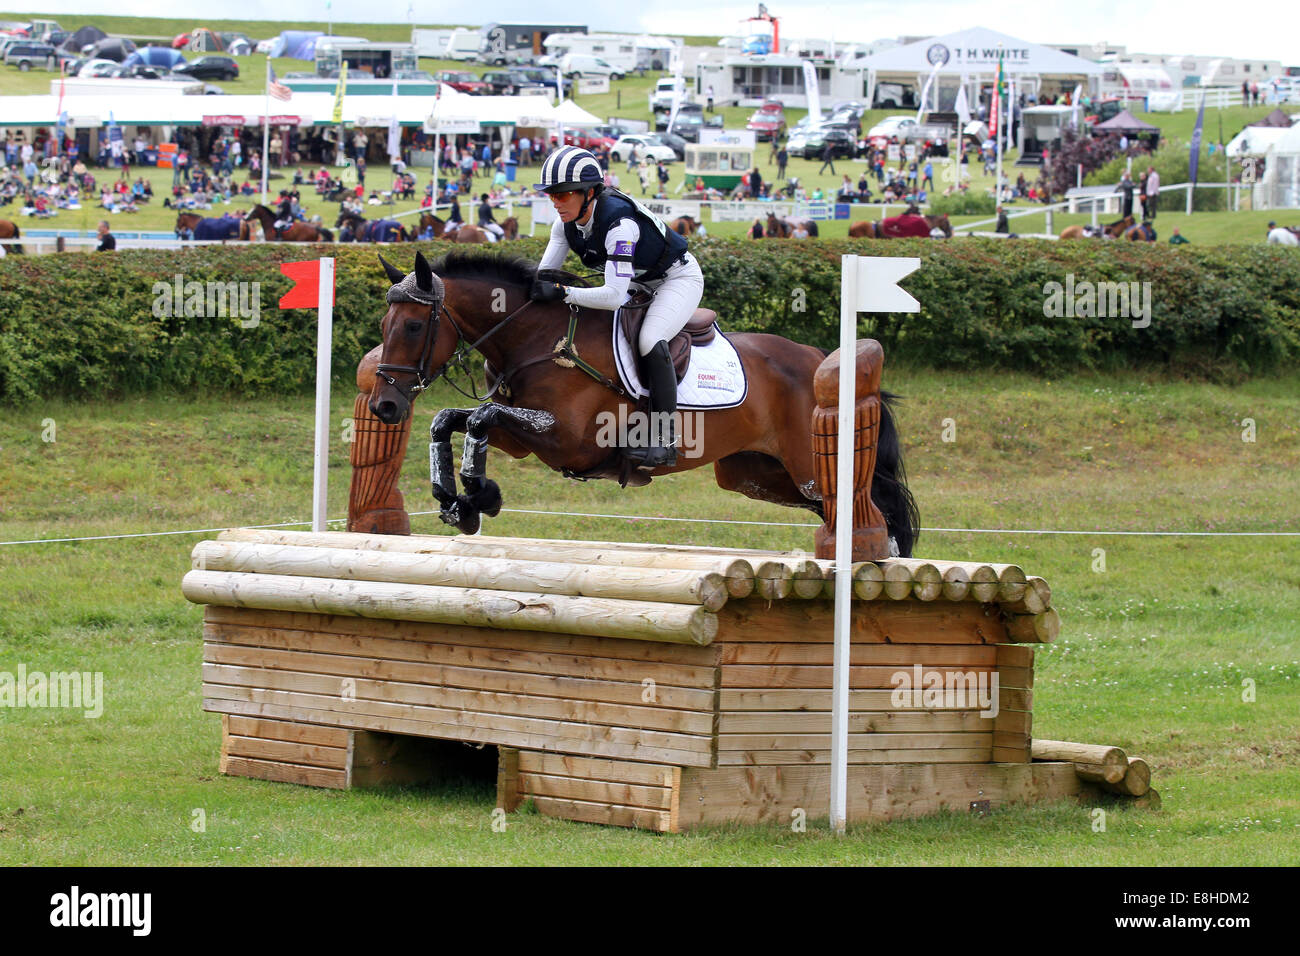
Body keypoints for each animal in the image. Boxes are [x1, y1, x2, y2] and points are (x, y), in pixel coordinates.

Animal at [364, 250, 920, 557]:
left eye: (412, 326)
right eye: (383, 326)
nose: (385, 407)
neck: (533, 337)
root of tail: (819, 358)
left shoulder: (568, 437)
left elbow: (480, 417)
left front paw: (479, 494)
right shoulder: (523, 437)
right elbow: (450, 421)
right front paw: (457, 502)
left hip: (806, 466)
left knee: (868, 500)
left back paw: (877, 556)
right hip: (757, 475)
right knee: (842, 505)